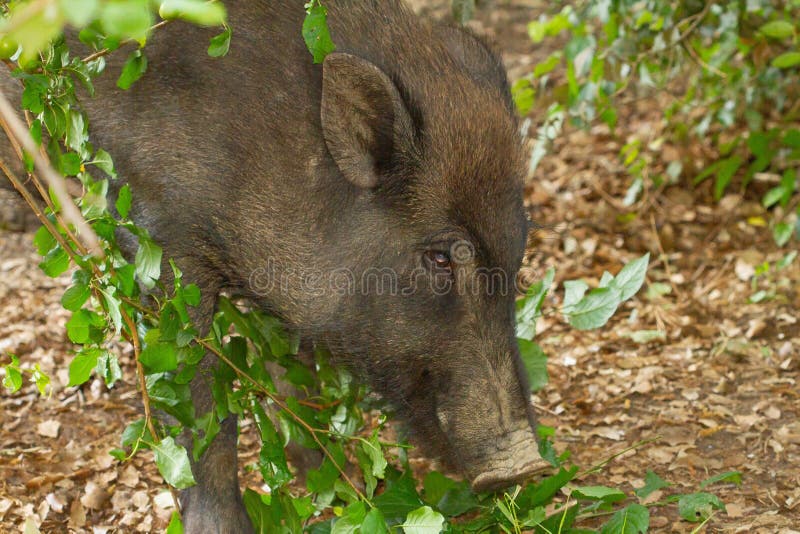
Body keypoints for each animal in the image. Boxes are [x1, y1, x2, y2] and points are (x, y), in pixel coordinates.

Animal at [14, 0, 551, 531]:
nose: (530, 466)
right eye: (440, 256)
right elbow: (203, 410)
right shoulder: (156, 238)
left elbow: (292, 373)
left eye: (518, 250)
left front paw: (342, 485)